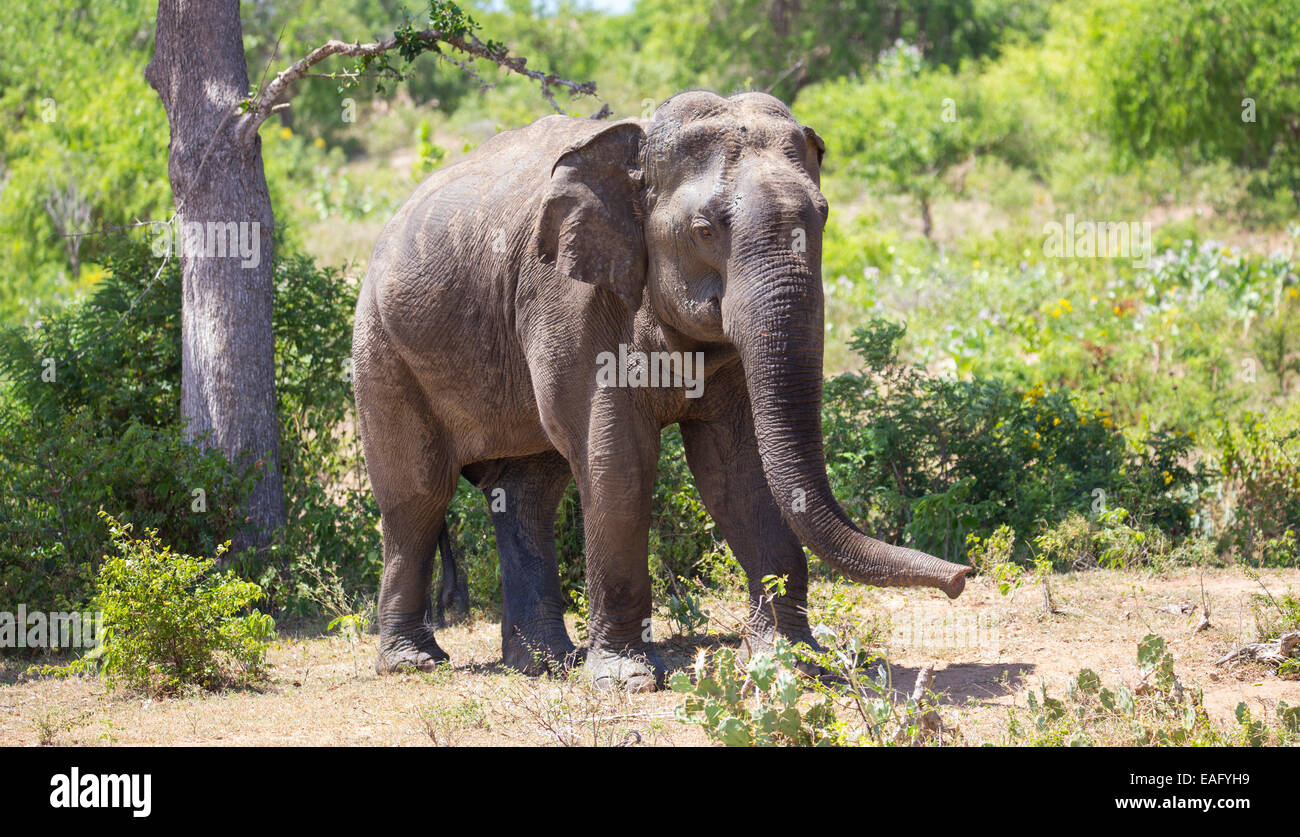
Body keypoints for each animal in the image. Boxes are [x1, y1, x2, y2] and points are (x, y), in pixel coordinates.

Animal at [352, 90, 971, 691]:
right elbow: (618, 463)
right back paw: (415, 663)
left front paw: (793, 666)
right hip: (382, 349)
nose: (962, 578)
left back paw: (546, 665)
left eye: (822, 217)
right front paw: (627, 681)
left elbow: (735, 469)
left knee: (528, 494)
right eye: (705, 231)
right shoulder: (570, 299)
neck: (638, 147)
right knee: (418, 495)